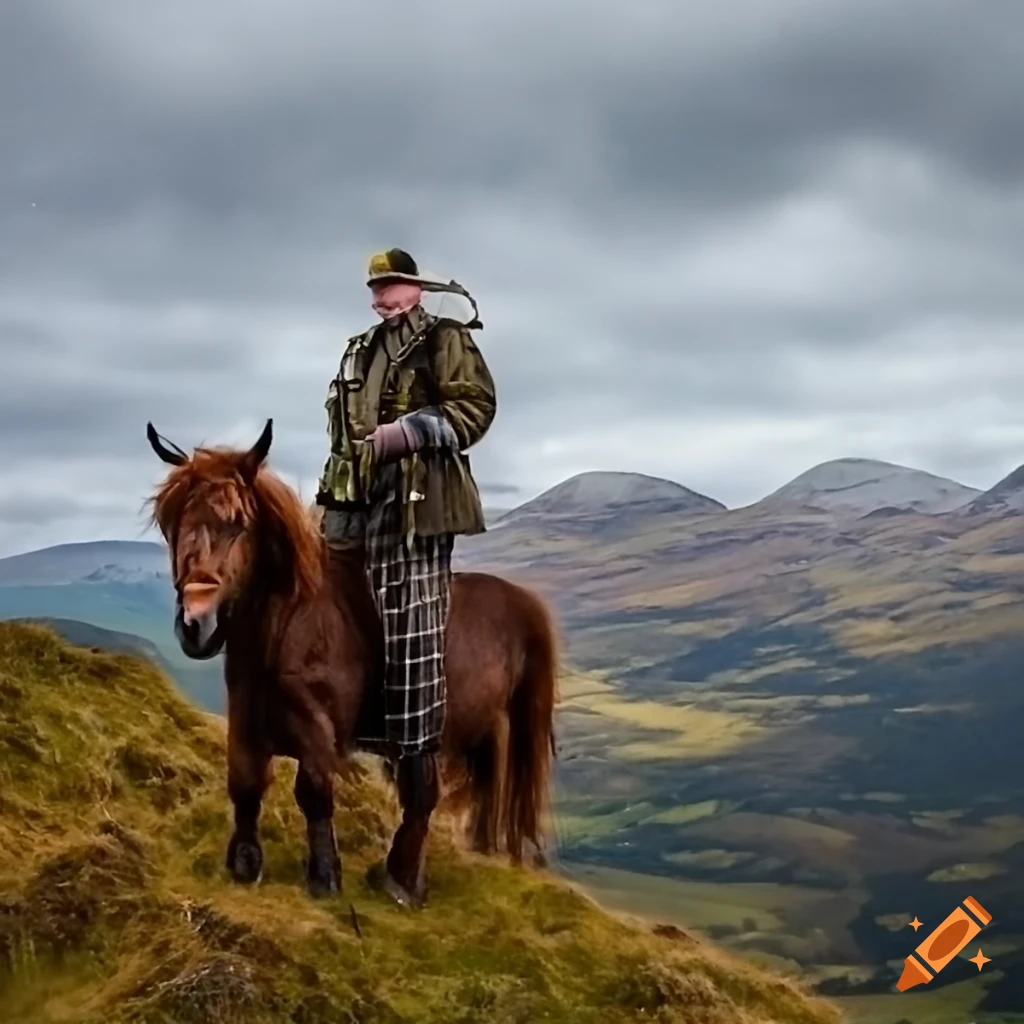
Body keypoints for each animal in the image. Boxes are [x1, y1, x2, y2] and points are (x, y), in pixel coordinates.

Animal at [145, 418, 558, 907]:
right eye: (172, 525)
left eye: (238, 523)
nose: (196, 625)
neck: (288, 625)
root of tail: (525, 601)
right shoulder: (245, 721)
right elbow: (244, 782)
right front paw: (245, 863)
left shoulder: (318, 731)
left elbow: (314, 793)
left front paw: (324, 877)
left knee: (433, 790)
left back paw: (404, 880)